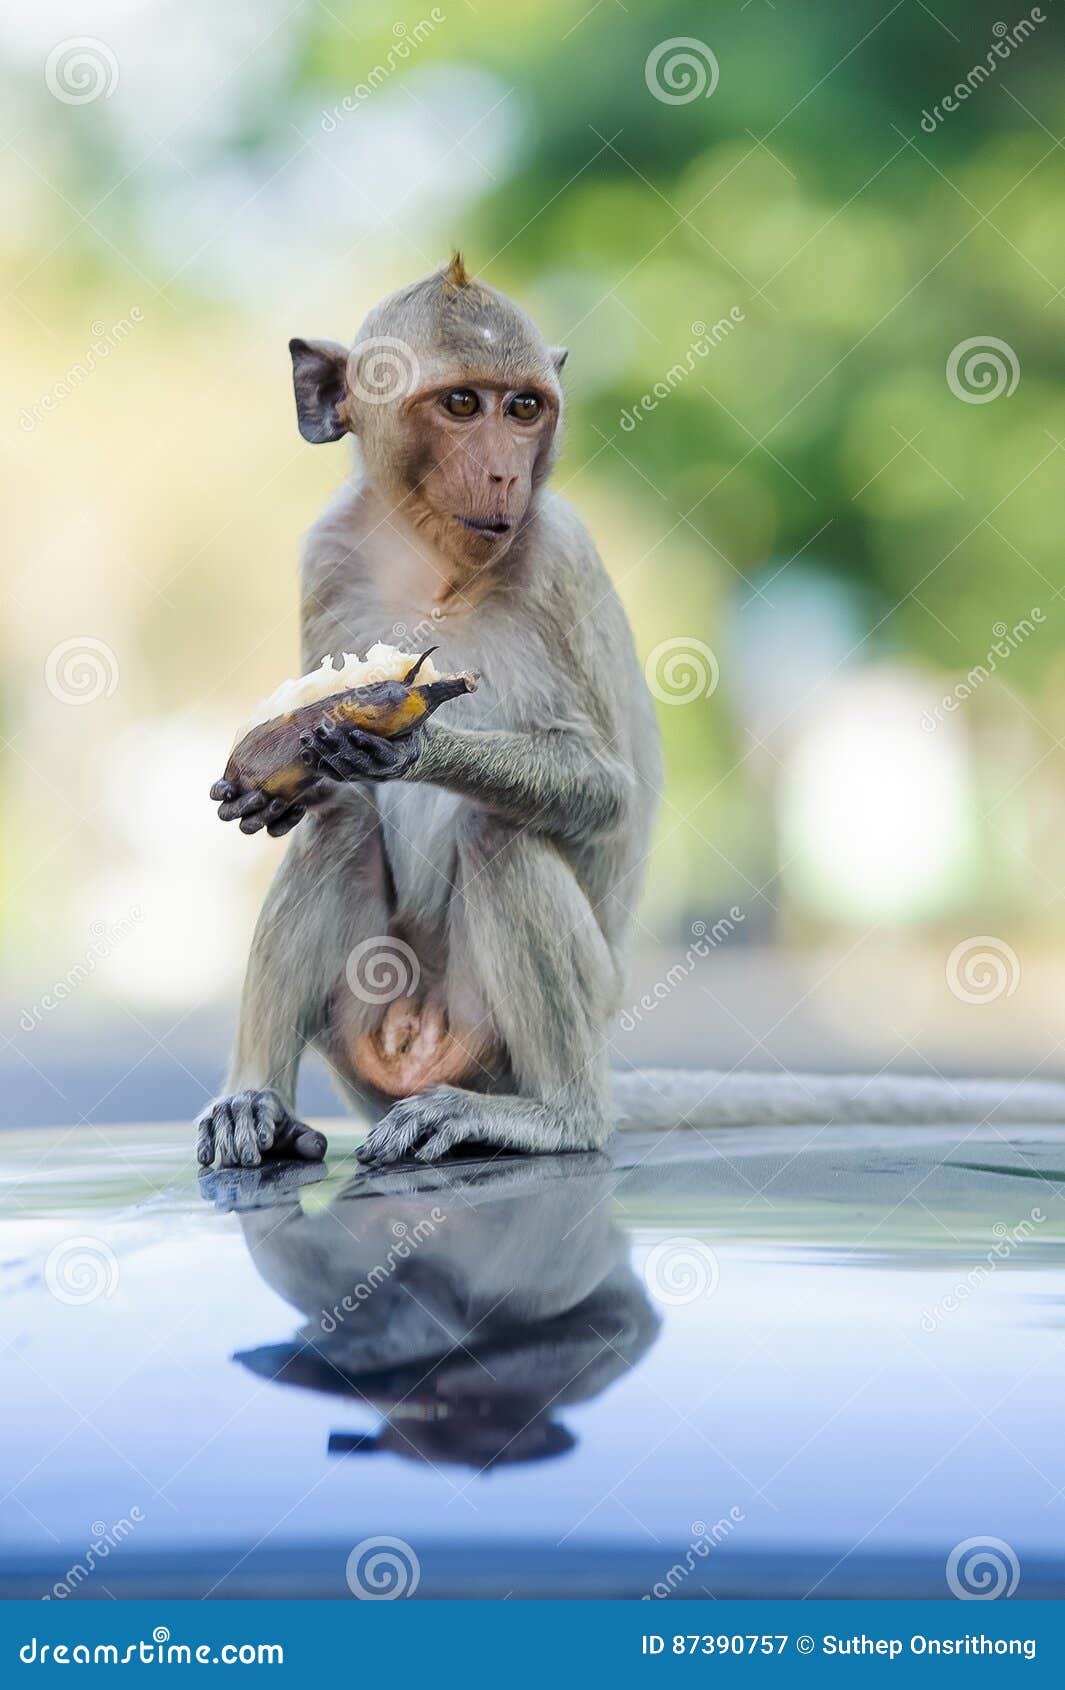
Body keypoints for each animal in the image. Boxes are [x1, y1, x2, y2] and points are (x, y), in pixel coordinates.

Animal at [197, 255, 1065, 1170]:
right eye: (461, 403)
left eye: (523, 408)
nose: (503, 474)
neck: (434, 569)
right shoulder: (326, 553)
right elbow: (332, 798)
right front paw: (280, 785)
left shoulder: (558, 559)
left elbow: (603, 789)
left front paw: (412, 744)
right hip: (371, 1032)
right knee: (342, 833)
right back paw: (259, 1100)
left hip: (506, 1032)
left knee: (501, 835)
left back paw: (554, 1118)